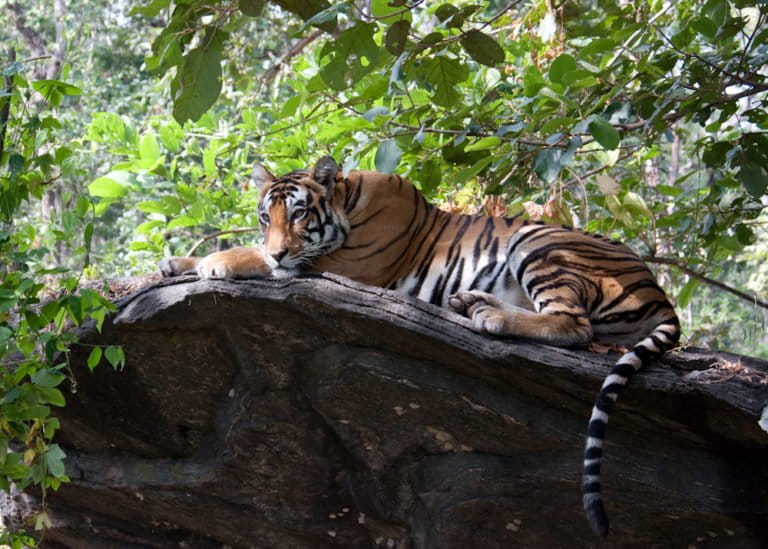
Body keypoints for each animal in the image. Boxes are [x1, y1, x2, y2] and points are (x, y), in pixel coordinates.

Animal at [159, 156, 681, 536]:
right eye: (266, 216)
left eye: (300, 213)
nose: (279, 249)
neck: (346, 200)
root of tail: (658, 293)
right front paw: (173, 263)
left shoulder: (339, 265)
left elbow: (255, 258)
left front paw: (216, 262)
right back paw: (471, 301)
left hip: (540, 239)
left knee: (573, 326)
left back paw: (489, 316)